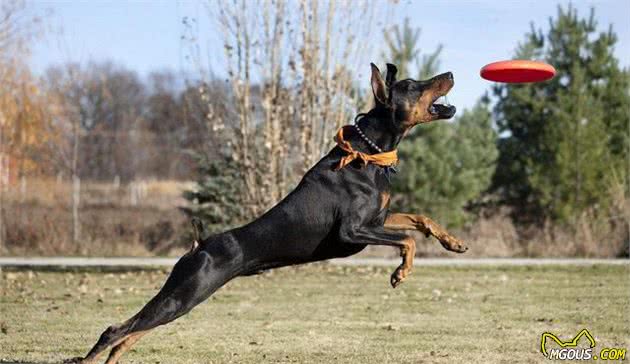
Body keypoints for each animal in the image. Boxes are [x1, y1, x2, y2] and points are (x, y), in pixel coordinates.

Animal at [68, 63, 470, 364]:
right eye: (412, 85)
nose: (451, 72)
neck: (368, 154)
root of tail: (198, 246)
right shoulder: (352, 231)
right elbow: (406, 240)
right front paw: (401, 273)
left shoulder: (377, 219)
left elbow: (419, 219)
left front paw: (453, 243)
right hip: (187, 291)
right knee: (117, 330)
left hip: (183, 299)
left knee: (131, 334)